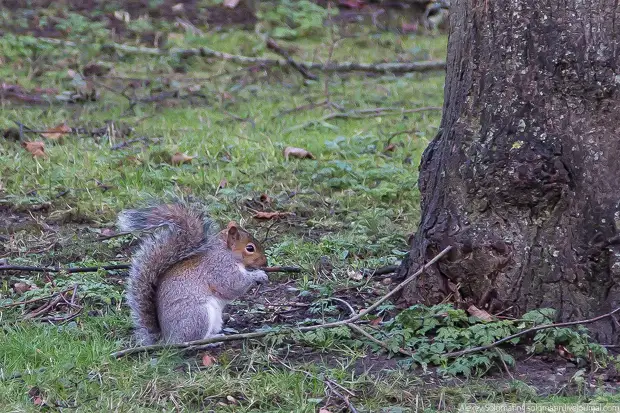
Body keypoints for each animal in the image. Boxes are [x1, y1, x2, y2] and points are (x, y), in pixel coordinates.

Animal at [118, 203, 268, 344]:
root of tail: (168, 339)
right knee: (193, 340)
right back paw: (211, 341)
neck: (227, 253)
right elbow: (233, 285)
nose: (265, 263)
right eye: (250, 248)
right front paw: (258, 275)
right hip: (198, 316)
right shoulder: (220, 268)